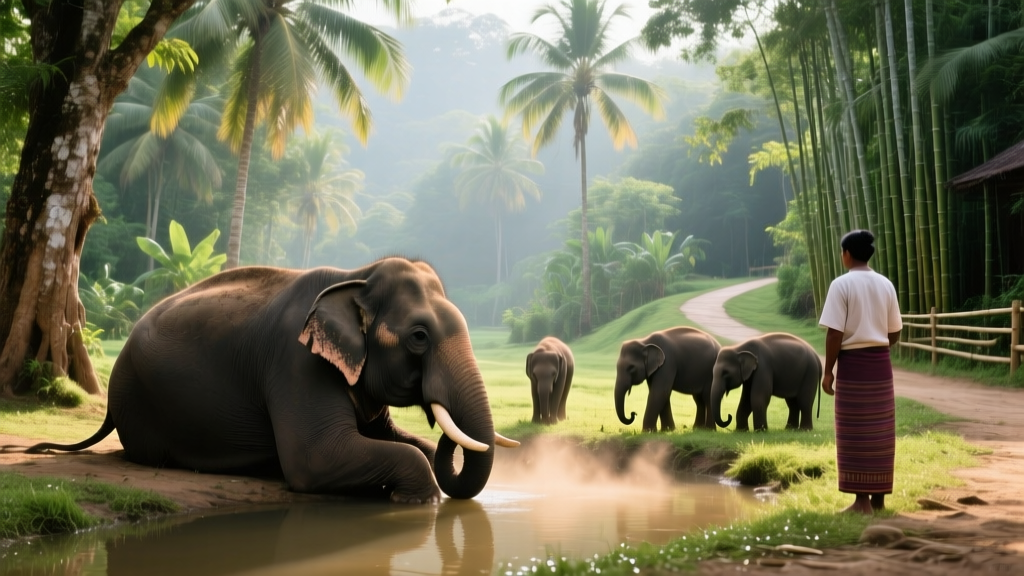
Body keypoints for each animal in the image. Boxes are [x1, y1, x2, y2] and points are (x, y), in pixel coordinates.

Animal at [27, 257, 518, 503]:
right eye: (418, 337)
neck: (354, 277)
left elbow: (399, 441)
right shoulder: (295, 363)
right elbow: (317, 458)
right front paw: (416, 500)